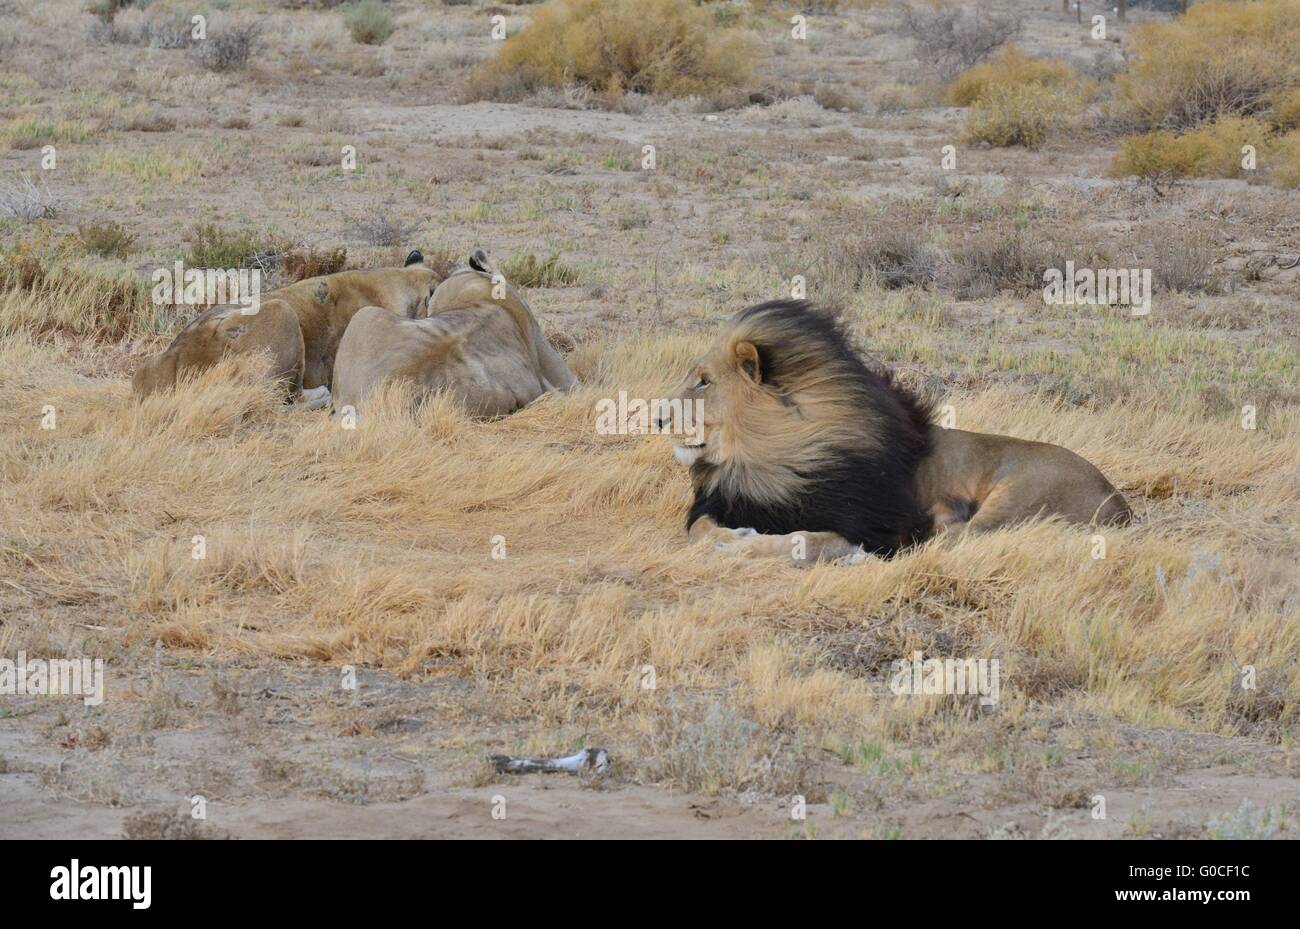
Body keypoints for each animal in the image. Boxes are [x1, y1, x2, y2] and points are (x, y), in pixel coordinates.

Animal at [657, 300, 1132, 562]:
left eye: (703, 381)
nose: (659, 417)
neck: (764, 458)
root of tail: (1122, 506)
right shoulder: (737, 501)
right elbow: (699, 529)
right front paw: (730, 536)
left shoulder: (879, 526)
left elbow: (805, 542)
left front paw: (741, 546)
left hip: (1018, 492)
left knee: (954, 540)